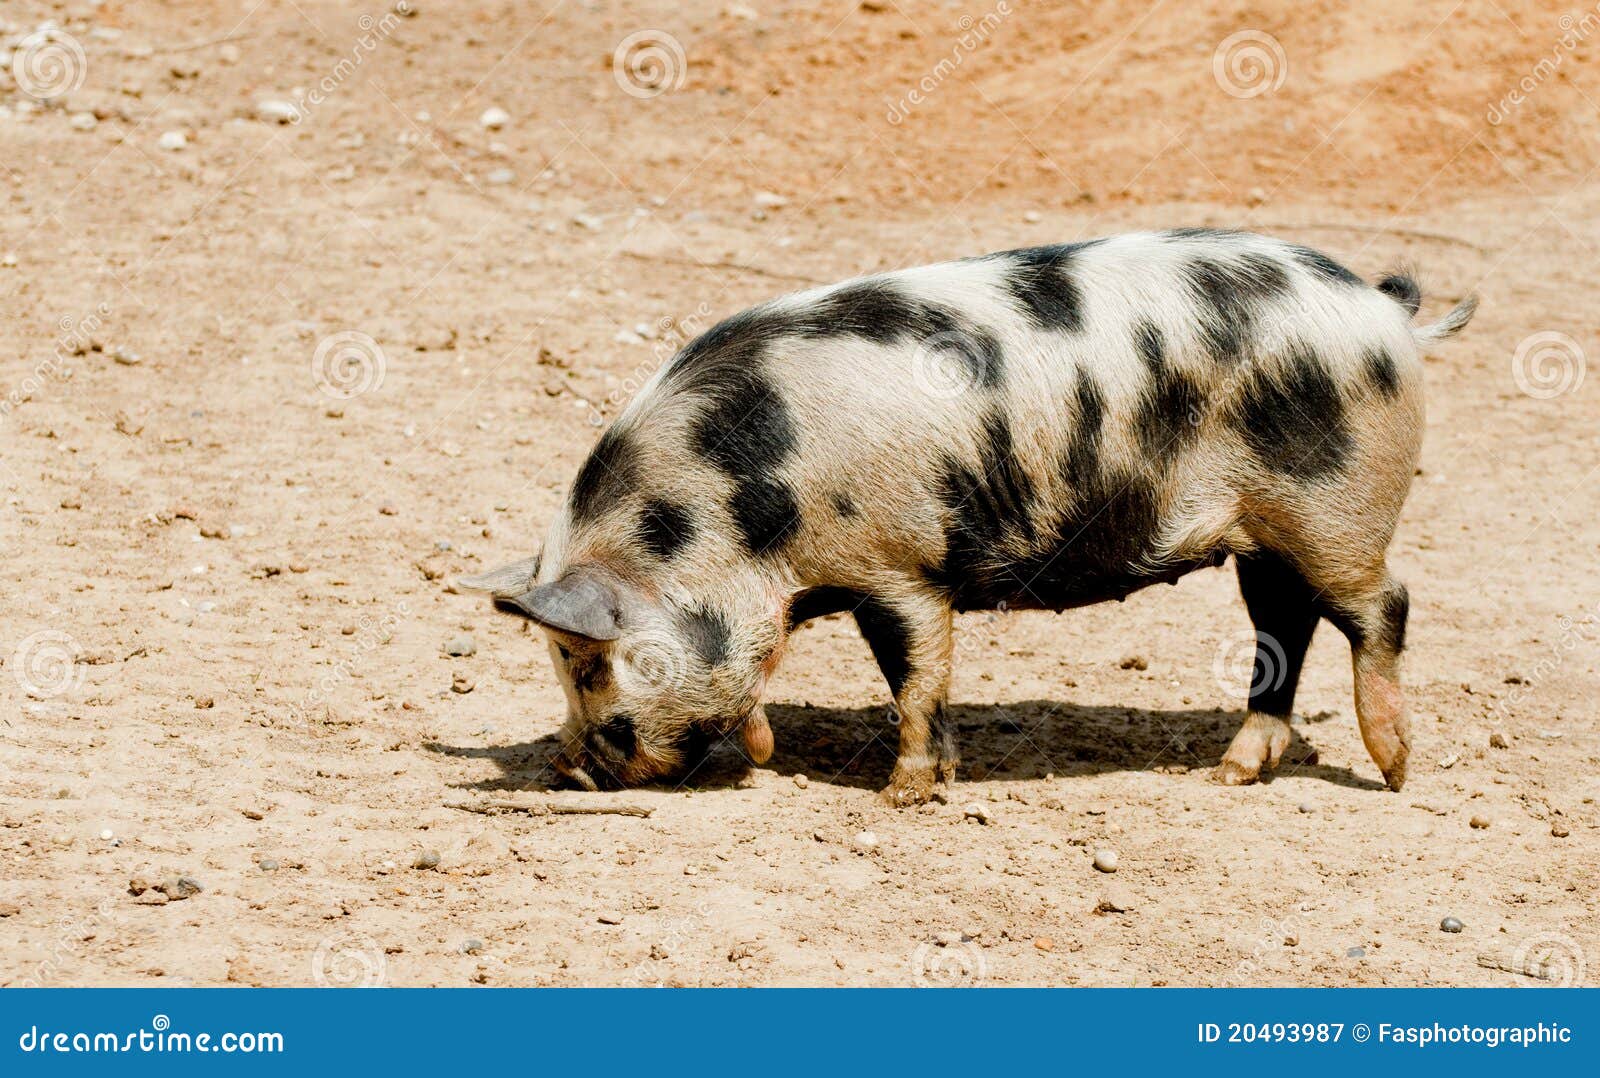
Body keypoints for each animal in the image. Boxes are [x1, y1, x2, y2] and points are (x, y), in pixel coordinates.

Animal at [461, 228, 1476, 805]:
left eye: (587, 661)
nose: (568, 767)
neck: (742, 514)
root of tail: (1385, 309)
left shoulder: (902, 563)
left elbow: (916, 678)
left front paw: (903, 798)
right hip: (1263, 536)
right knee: (1284, 627)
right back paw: (1232, 773)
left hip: (1336, 510)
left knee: (1384, 607)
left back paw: (1393, 772)